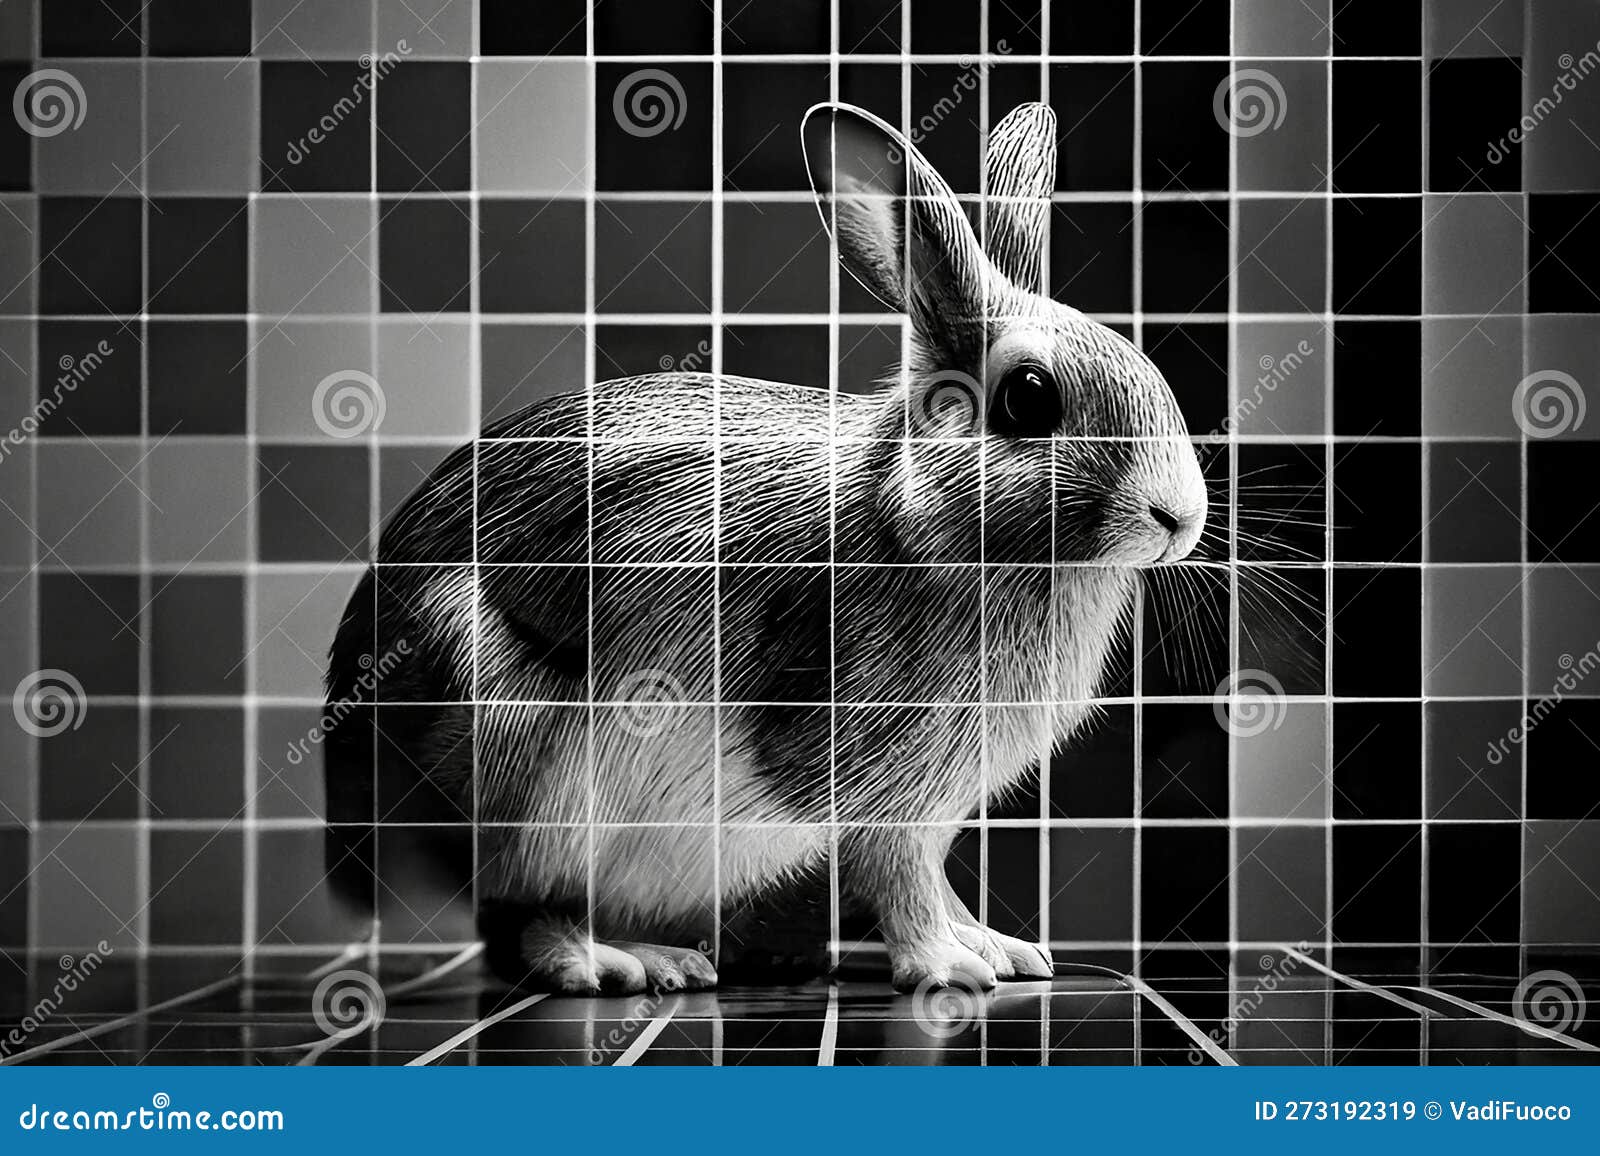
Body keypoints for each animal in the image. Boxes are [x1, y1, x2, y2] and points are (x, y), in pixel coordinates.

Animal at [321, 101, 1206, 996]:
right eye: (1029, 397)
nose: (1179, 516)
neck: (924, 525)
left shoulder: (932, 805)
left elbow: (934, 875)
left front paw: (1002, 951)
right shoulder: (874, 781)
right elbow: (902, 880)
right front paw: (948, 967)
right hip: (533, 768)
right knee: (524, 913)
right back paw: (616, 964)